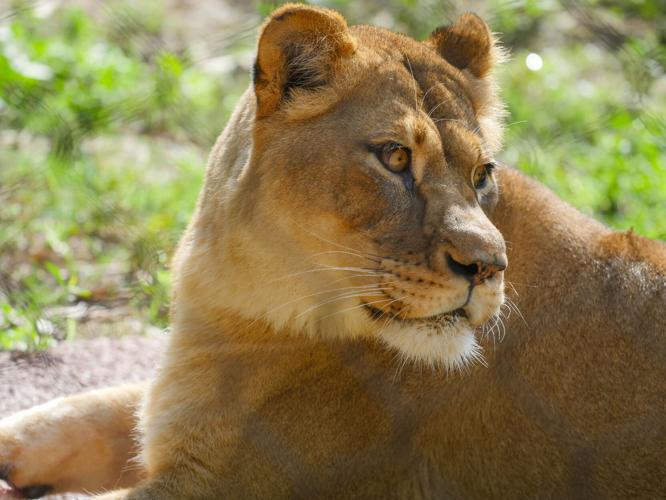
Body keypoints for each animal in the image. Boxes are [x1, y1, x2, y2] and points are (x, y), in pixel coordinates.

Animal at [1, 4, 664, 499]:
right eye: (394, 156)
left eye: (481, 174)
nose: (488, 267)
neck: (230, 305)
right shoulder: (176, 407)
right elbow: (76, 413)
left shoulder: (228, 484)